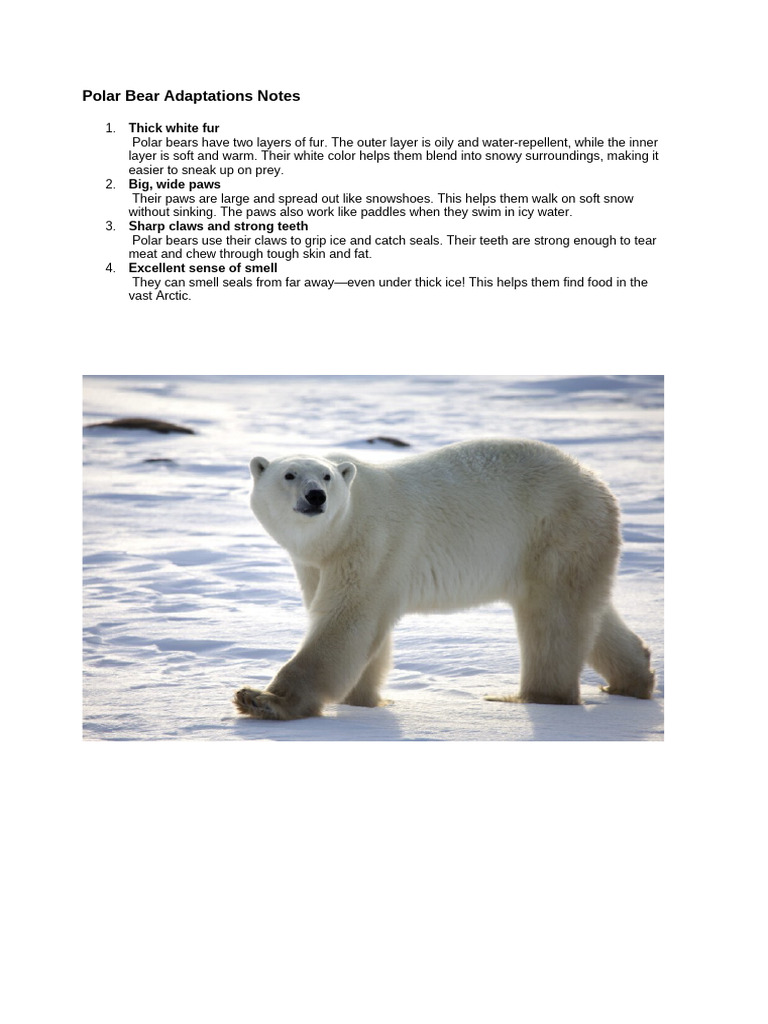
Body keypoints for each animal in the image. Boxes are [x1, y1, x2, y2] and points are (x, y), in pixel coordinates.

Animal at [233, 439, 655, 721]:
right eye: (289, 474)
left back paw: (529, 698)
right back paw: (633, 680)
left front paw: (261, 699)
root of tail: (597, 482)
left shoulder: (373, 543)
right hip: (575, 543)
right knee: (590, 613)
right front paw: (364, 702)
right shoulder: (316, 564)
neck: (340, 530)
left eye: (326, 476)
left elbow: (346, 621)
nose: (316, 497)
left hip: (554, 530)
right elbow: (365, 634)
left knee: (552, 620)